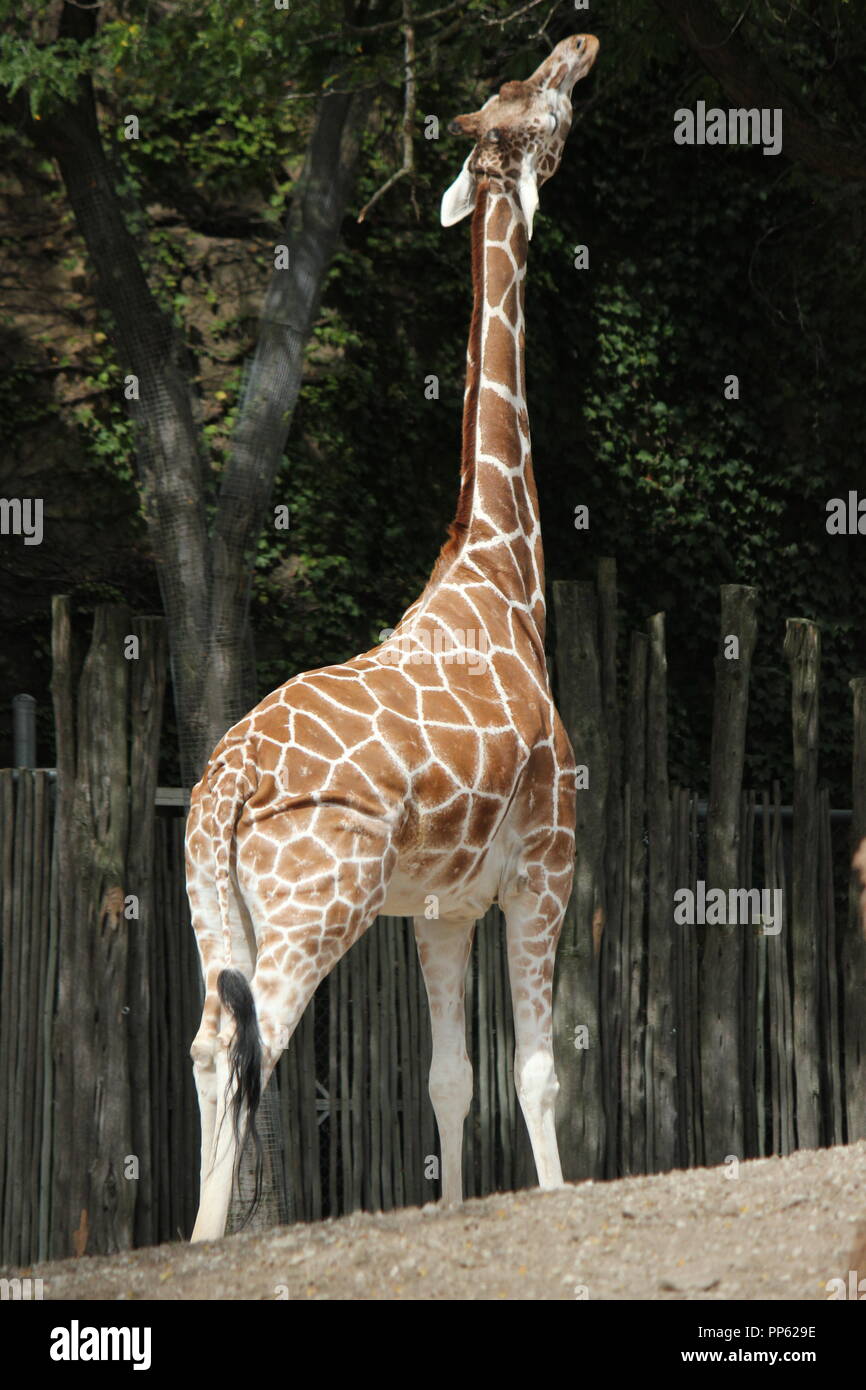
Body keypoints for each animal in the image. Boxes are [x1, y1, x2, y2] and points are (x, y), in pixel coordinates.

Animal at [186, 32, 600, 1243]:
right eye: (544, 105)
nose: (583, 42)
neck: (500, 574)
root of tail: (224, 785)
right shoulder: (548, 864)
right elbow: (537, 1071)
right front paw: (555, 1198)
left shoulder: (443, 904)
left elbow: (448, 1079)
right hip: (315, 899)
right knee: (254, 1046)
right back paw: (208, 1244)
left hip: (213, 905)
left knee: (206, 1042)